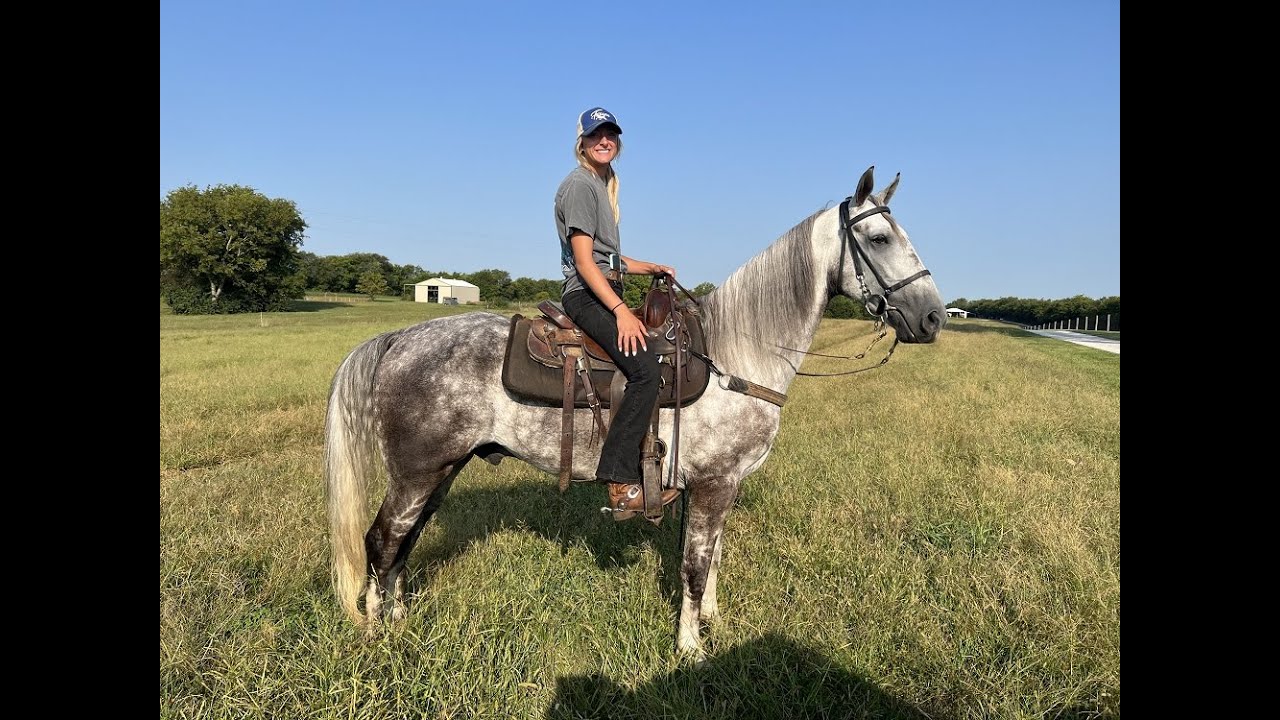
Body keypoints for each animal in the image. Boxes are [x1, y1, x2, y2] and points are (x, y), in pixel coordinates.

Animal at [325, 165, 945, 659]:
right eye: (879, 237)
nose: (934, 317)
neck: (735, 354)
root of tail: (397, 339)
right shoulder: (715, 484)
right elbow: (695, 565)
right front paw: (692, 649)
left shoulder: (718, 486)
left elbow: (711, 558)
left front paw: (711, 620)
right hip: (417, 472)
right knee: (381, 540)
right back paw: (377, 632)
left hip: (440, 470)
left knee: (404, 541)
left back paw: (400, 617)